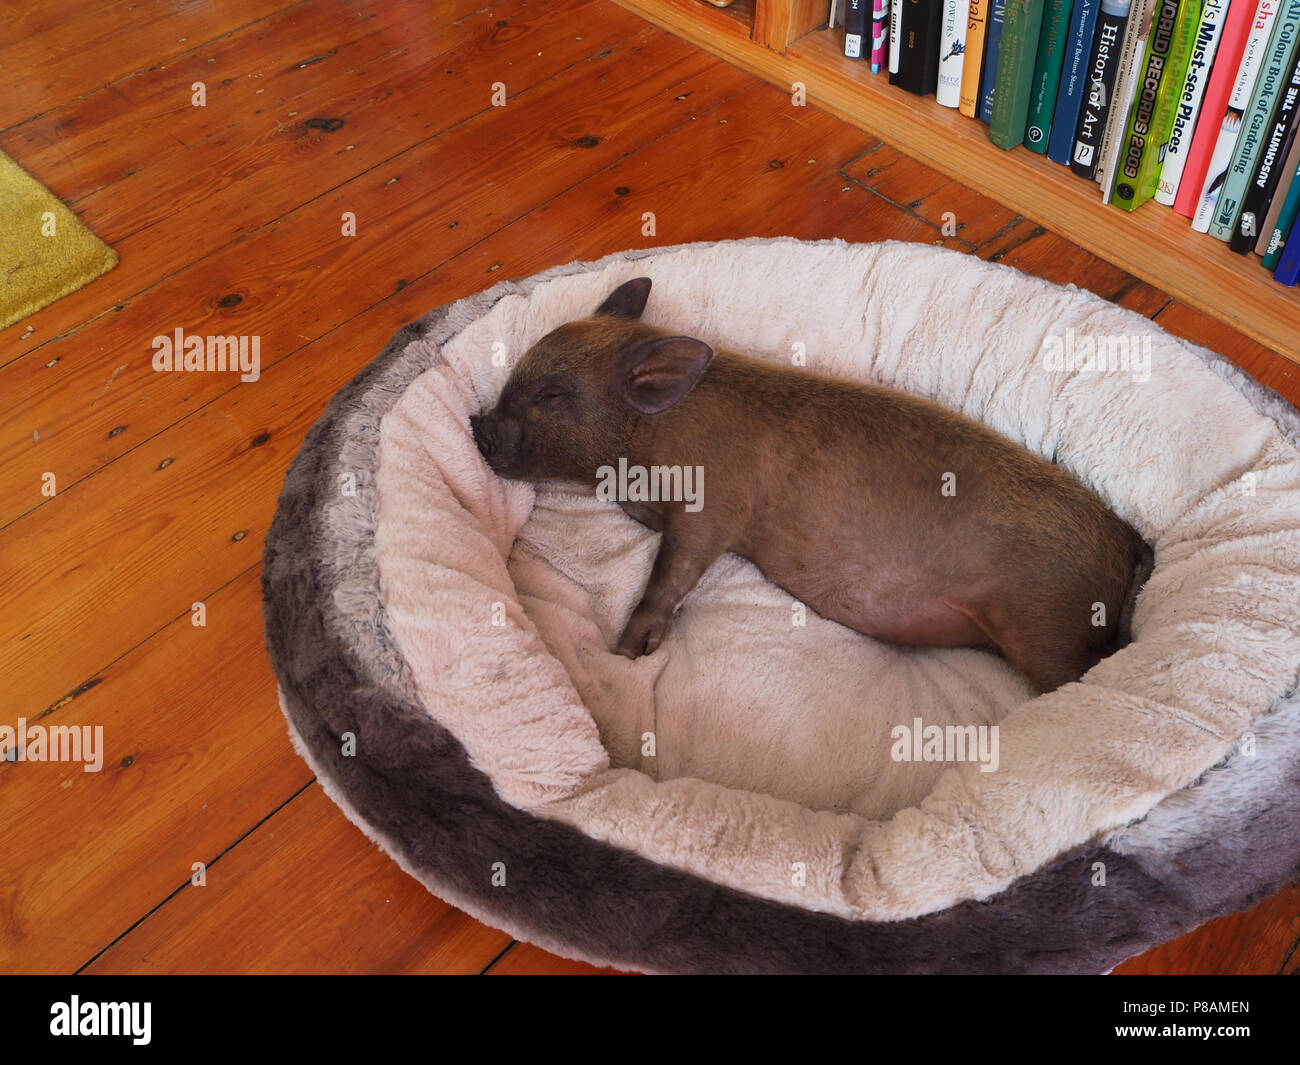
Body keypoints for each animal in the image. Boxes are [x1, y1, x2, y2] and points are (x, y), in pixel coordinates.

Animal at [469, 277, 1154, 694]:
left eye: (552, 395)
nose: (476, 425)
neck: (642, 448)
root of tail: (1125, 541)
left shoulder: (715, 504)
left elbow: (672, 574)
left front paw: (625, 653)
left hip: (1044, 623)